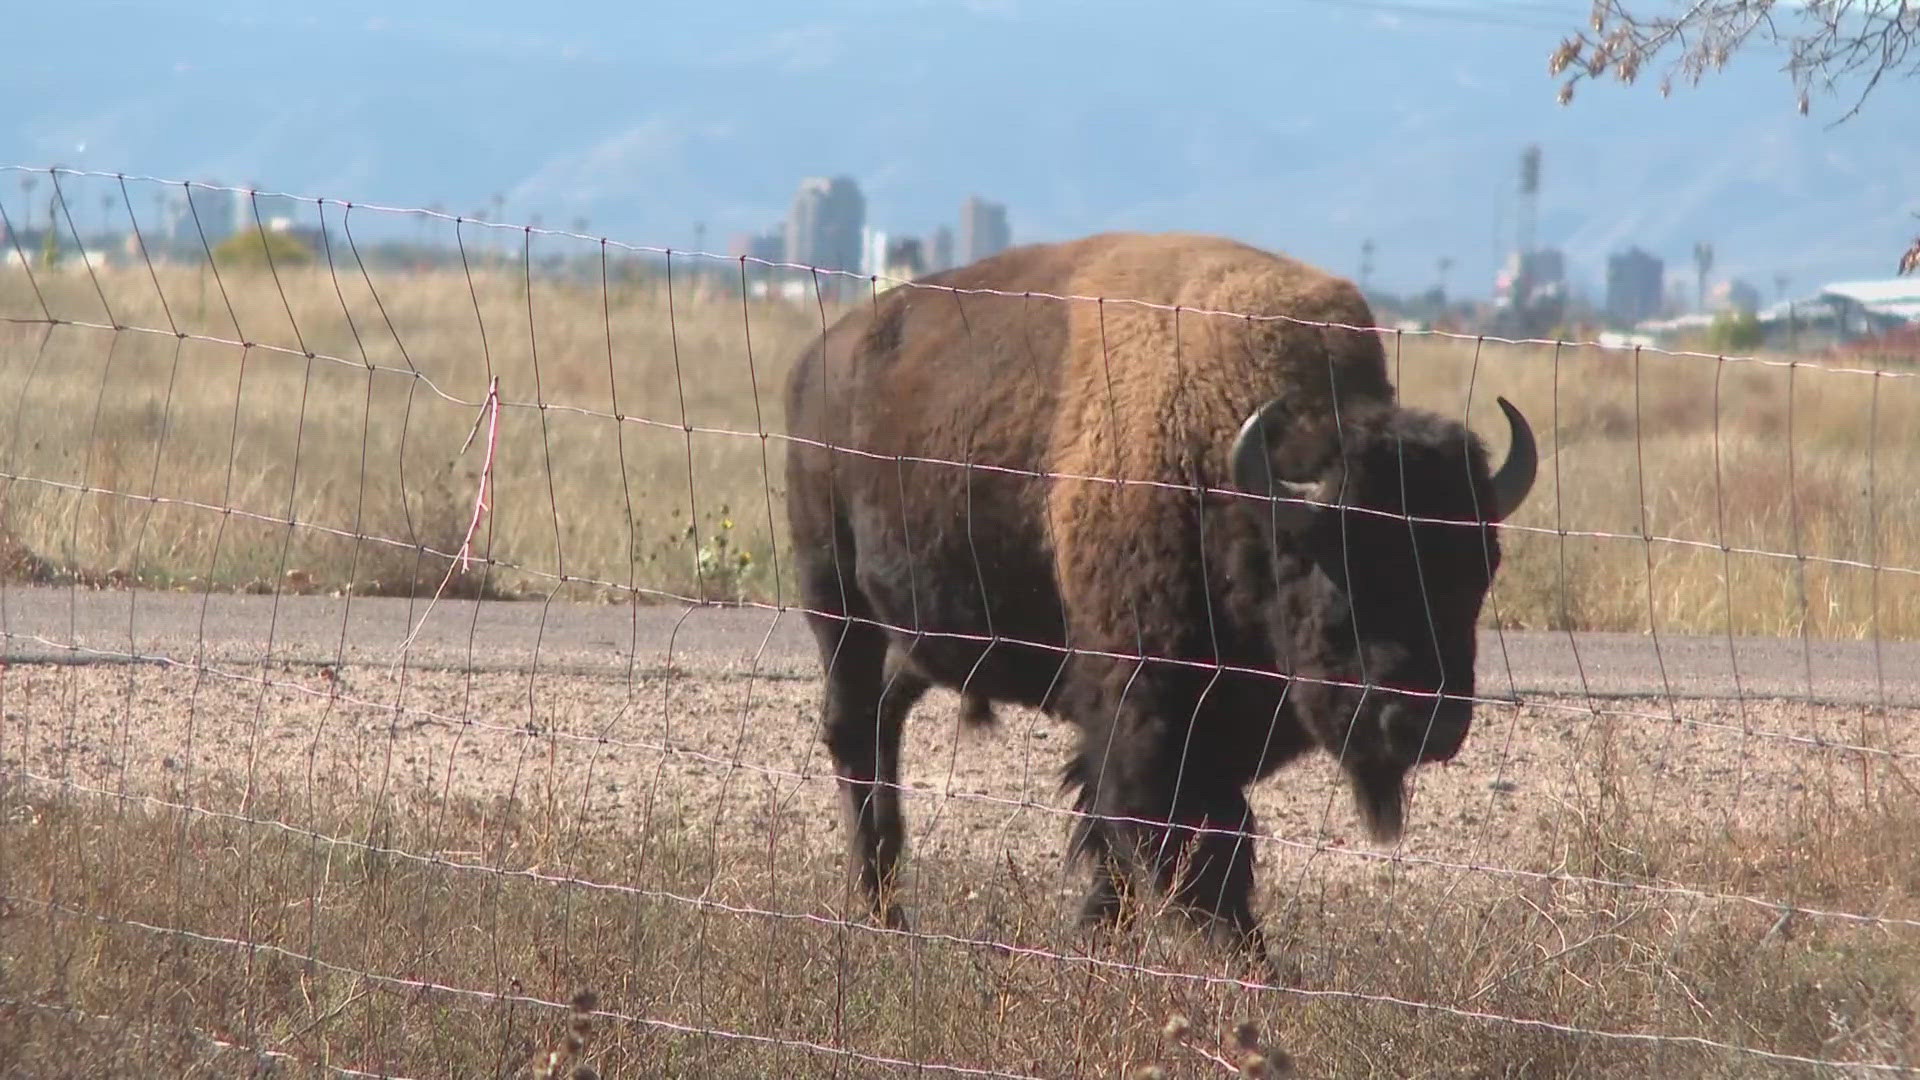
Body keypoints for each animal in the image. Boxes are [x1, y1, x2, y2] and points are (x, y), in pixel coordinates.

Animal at [781, 232, 1536, 958]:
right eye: (1335, 563)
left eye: (1479, 568)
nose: (1420, 721)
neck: (1224, 476)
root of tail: (821, 354)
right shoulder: (1148, 712)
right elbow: (1189, 841)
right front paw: (1247, 967)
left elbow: (1120, 832)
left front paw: (1097, 939)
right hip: (835, 600)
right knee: (853, 731)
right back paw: (883, 914)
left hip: (918, 635)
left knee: (886, 720)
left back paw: (890, 910)